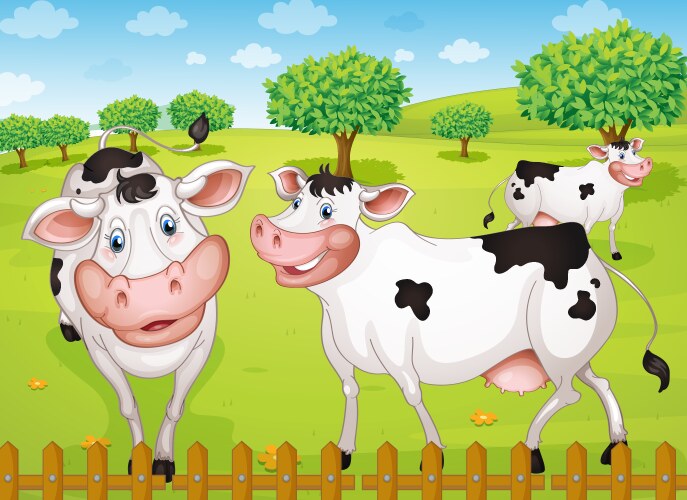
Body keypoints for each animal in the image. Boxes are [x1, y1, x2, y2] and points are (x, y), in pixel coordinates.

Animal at [23, 117, 253, 482]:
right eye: (115, 241)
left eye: (169, 225)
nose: (151, 291)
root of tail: (105, 152)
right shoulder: (99, 350)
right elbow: (128, 406)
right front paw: (139, 462)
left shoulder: (202, 344)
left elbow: (175, 407)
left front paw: (162, 462)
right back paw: (67, 326)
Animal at [250, 164, 669, 473]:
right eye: (296, 202)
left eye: (327, 211)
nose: (263, 227)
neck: (342, 299)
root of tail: (582, 246)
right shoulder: (335, 349)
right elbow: (350, 391)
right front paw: (343, 452)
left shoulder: (396, 349)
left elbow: (412, 394)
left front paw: (434, 452)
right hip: (574, 350)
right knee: (601, 383)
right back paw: (615, 444)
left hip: (557, 346)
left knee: (570, 393)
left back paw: (533, 449)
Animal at [482, 138, 653, 260]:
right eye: (621, 156)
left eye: (634, 152)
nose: (646, 162)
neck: (613, 190)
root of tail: (519, 167)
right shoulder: (591, 215)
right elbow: (587, 232)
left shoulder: (618, 212)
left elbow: (611, 229)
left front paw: (615, 253)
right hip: (526, 211)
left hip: (525, 213)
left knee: (510, 225)